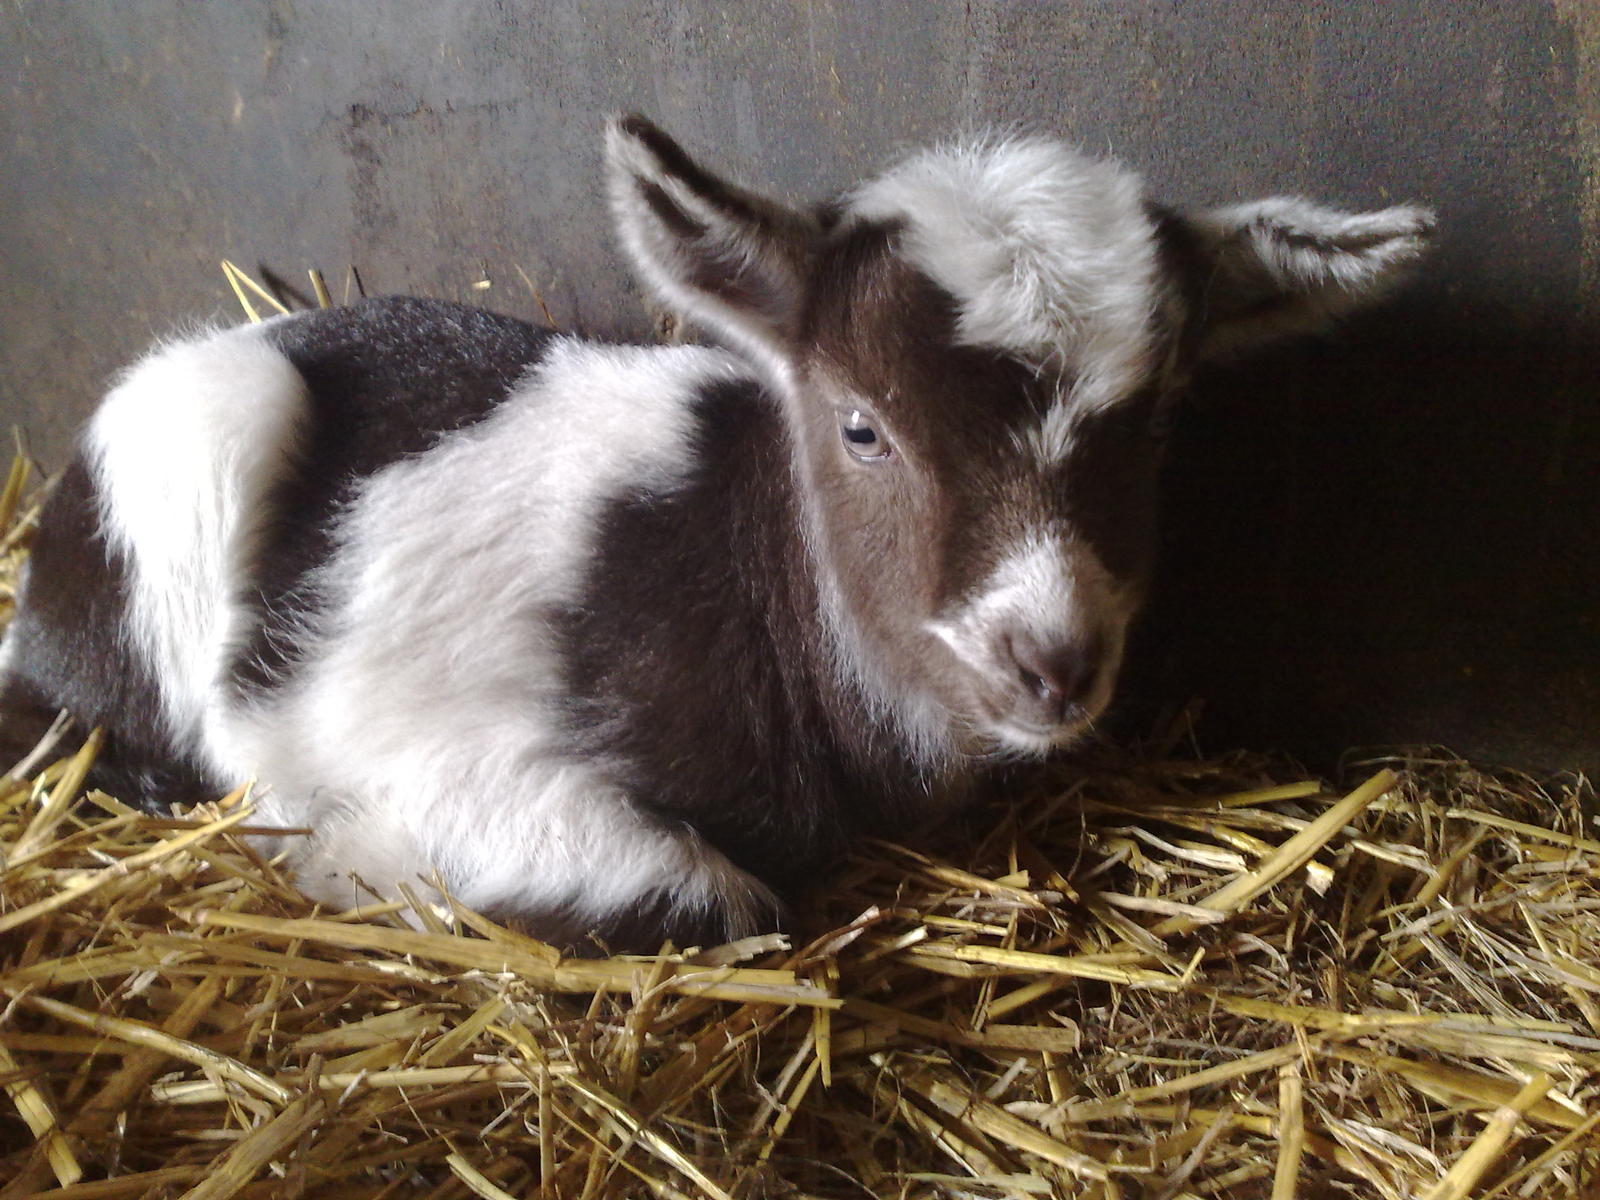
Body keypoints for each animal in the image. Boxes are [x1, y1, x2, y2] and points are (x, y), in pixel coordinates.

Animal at [0, 117, 1432, 948]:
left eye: (1158, 420)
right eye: (861, 426)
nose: (1050, 663)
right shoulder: (446, 758)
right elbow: (708, 897)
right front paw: (342, 852)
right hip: (190, 460)